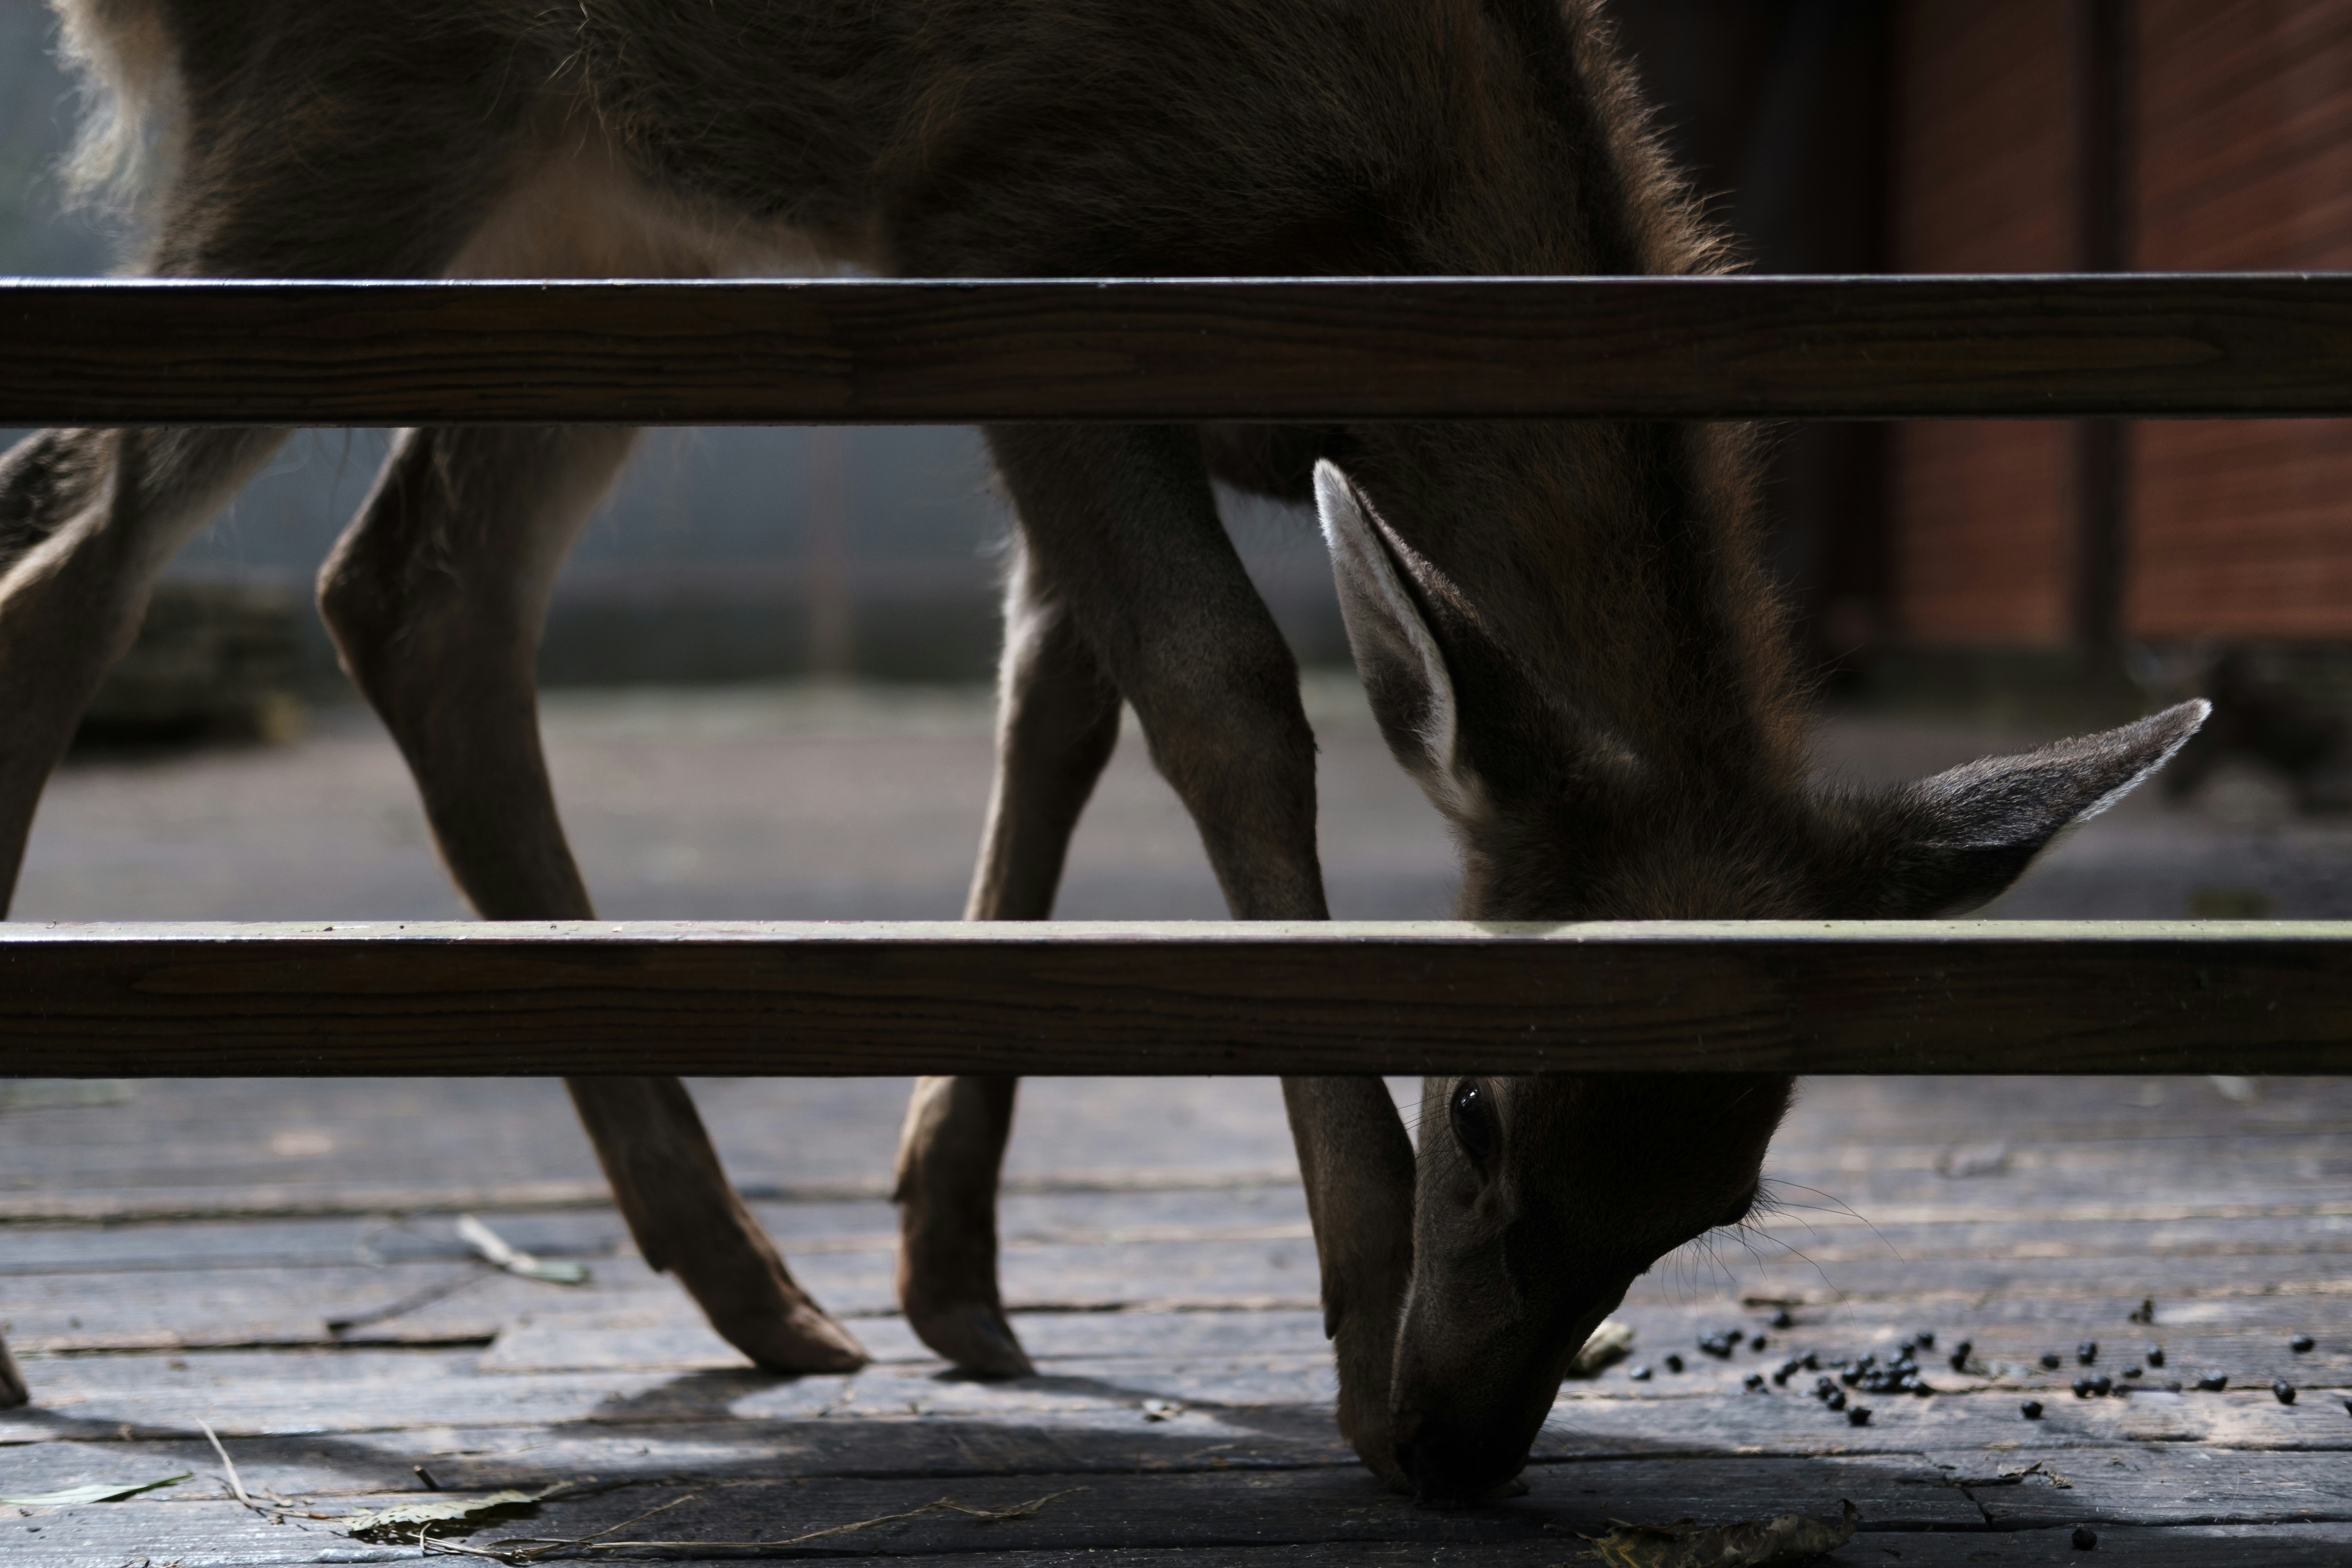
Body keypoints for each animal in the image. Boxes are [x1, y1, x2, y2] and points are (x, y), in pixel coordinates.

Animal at [0, 0, 2205, 1503]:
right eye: (1478, 1112)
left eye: (1724, 1193)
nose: (1456, 1447)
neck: (1387, 237)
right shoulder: (1011, 236)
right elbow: (1223, 697)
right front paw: (1343, 1302)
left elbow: (1059, 692)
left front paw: (950, 1260)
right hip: (350, 105)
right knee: (74, 557)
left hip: (610, 208)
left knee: (411, 588)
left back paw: (752, 1286)